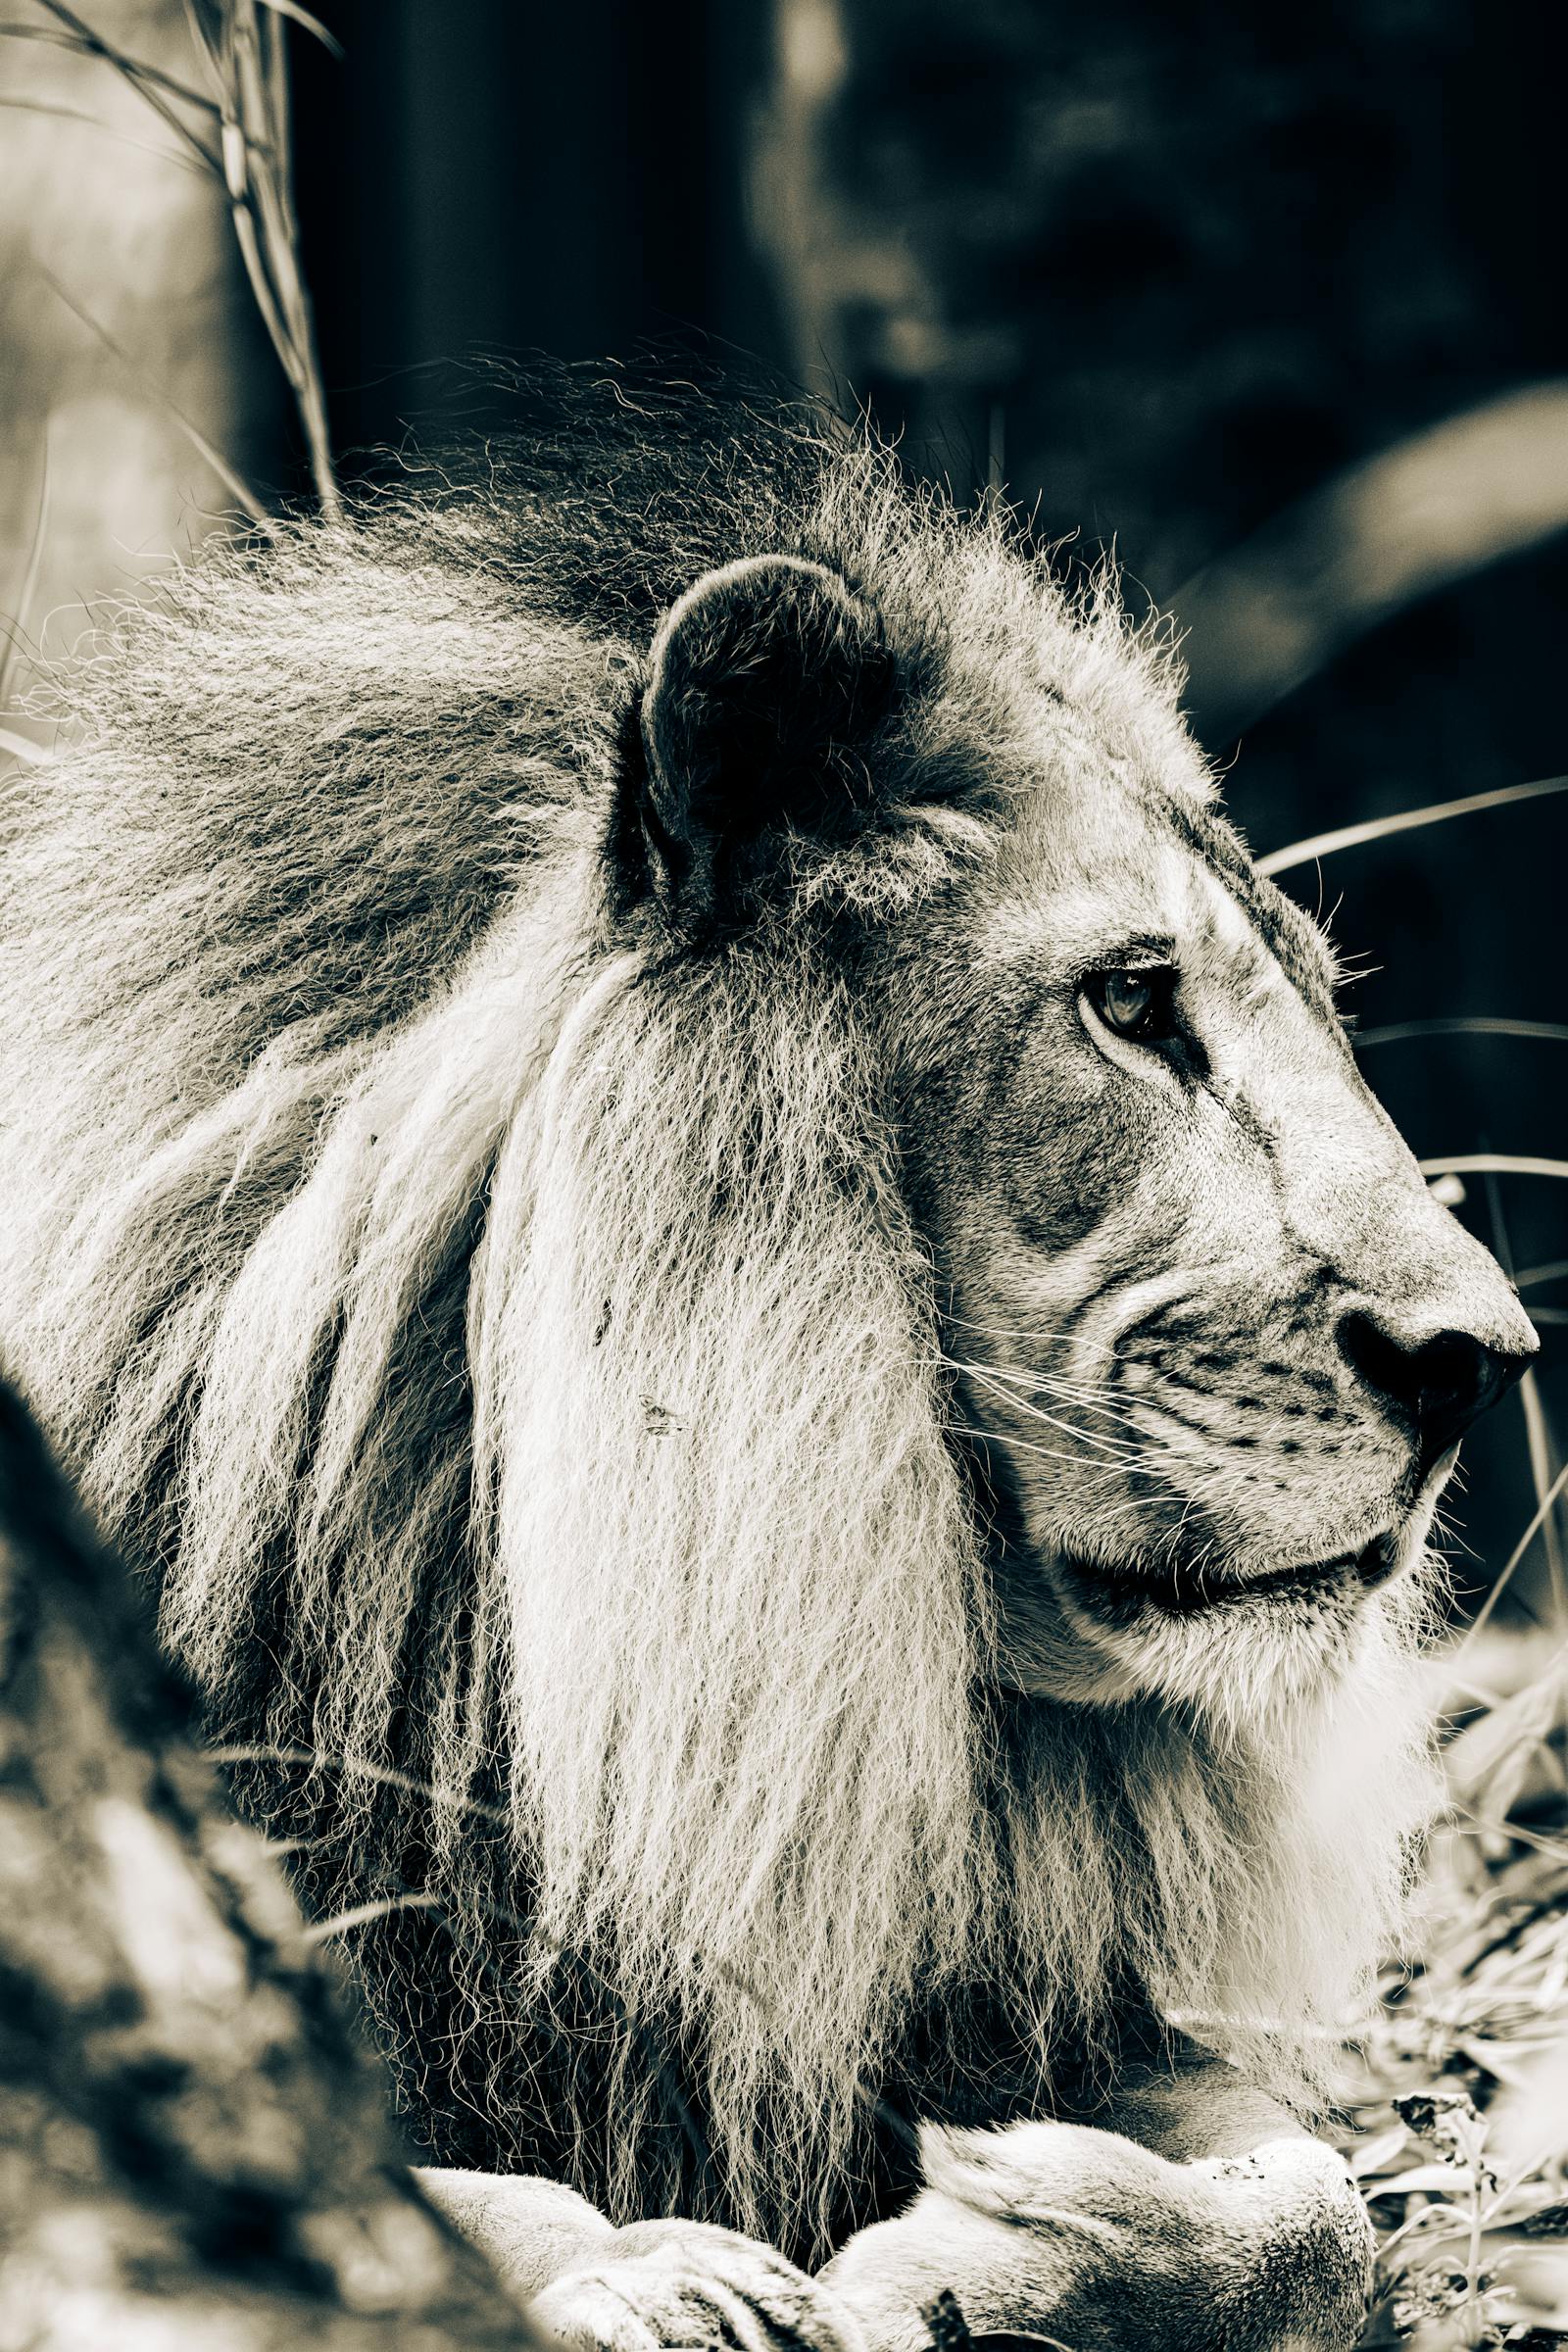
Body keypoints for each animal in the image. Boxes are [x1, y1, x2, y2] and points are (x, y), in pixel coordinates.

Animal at [0, 367, 1536, 2352]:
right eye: (1133, 1003)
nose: (1482, 1358)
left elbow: (1326, 2213)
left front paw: (1007, 2252)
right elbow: (409, 2191)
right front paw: (659, 2284)